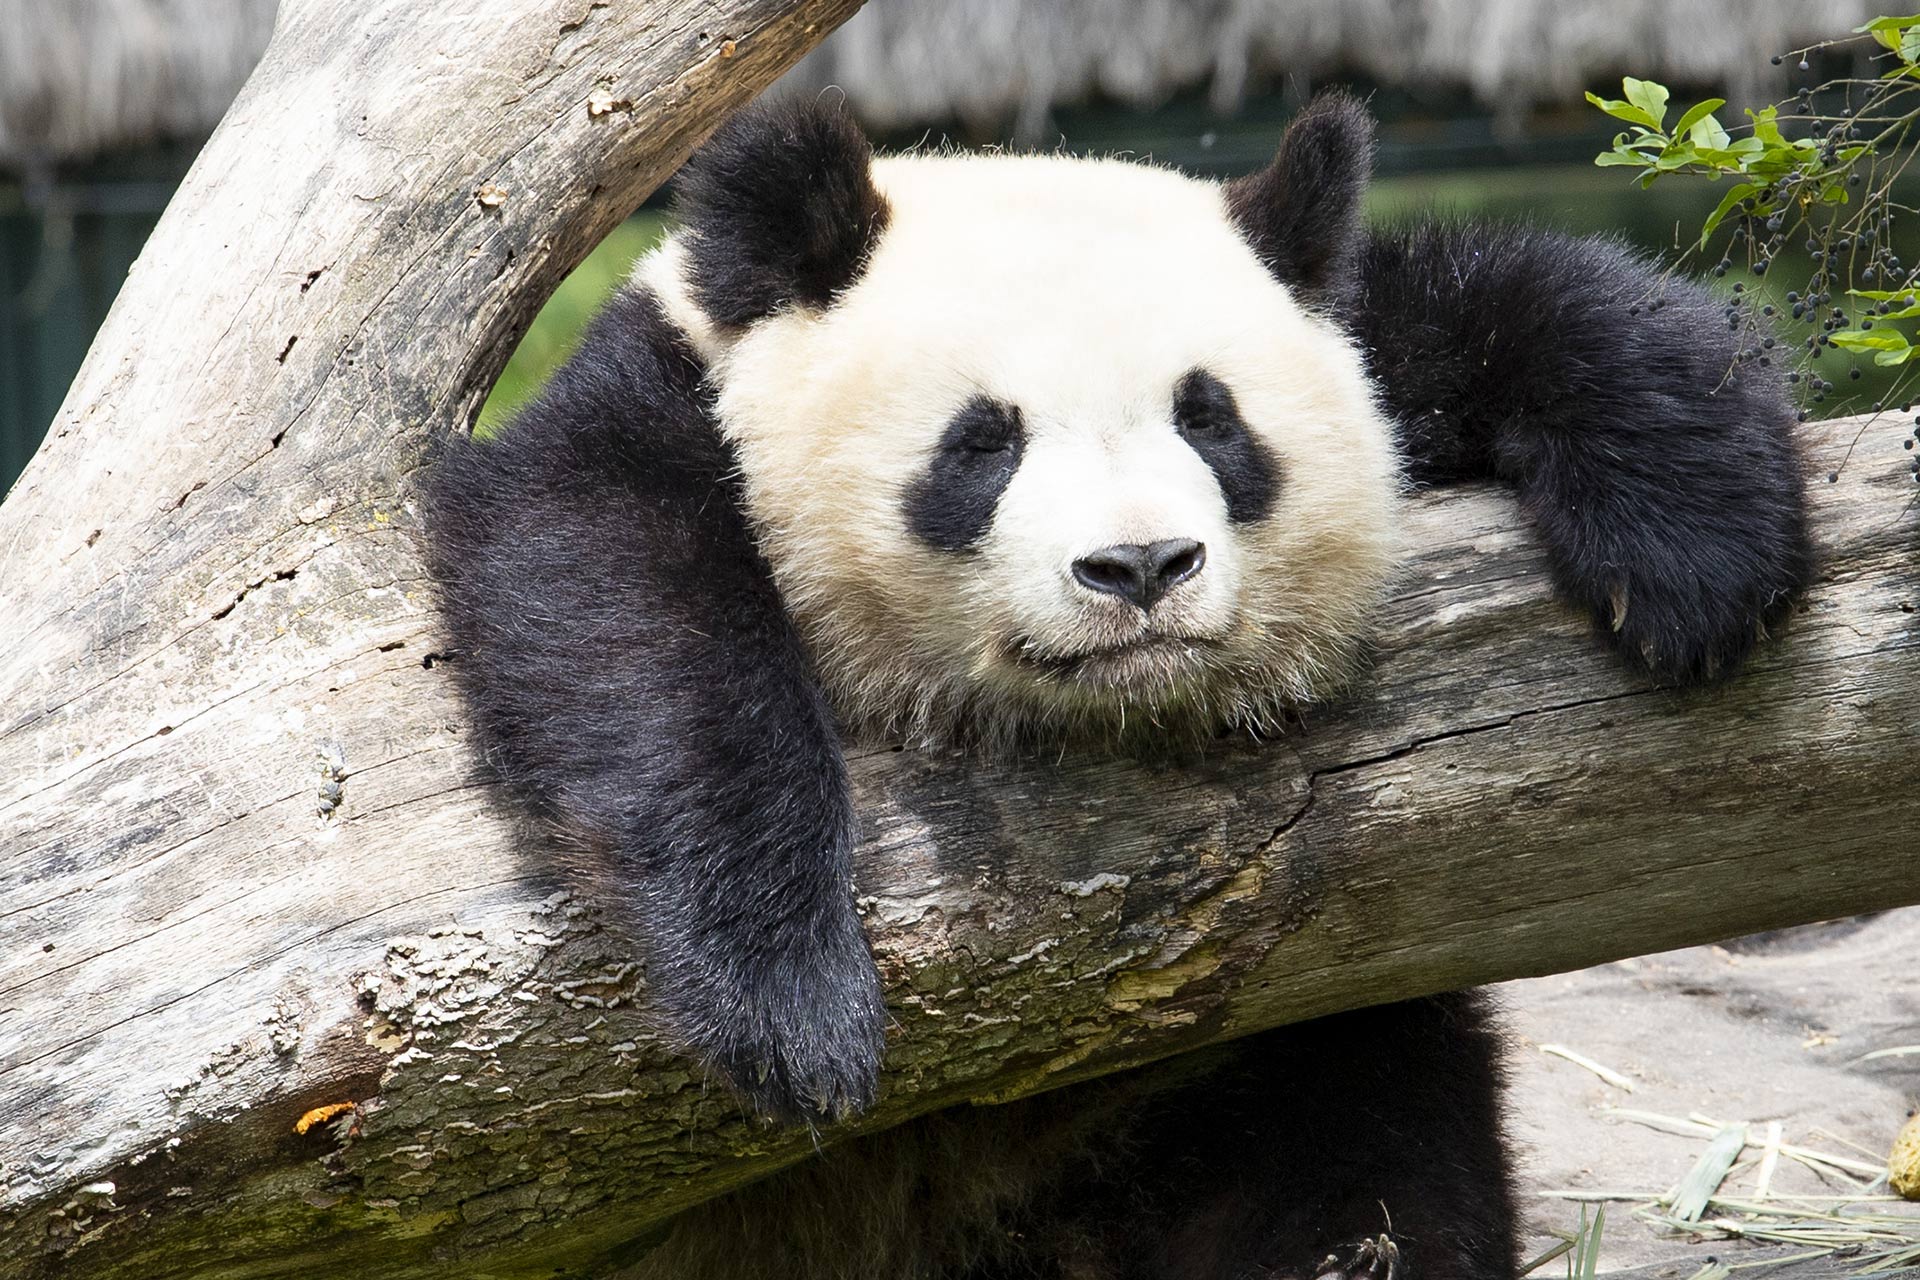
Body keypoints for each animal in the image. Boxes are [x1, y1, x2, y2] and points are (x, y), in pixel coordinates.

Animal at [424, 93, 1811, 1279]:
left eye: (1212, 421)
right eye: (982, 442)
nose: (1141, 566)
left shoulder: (1370, 330)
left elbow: (1481, 300)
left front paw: (1695, 546)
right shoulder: (653, 399)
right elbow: (607, 586)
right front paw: (787, 996)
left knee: (1366, 1150)